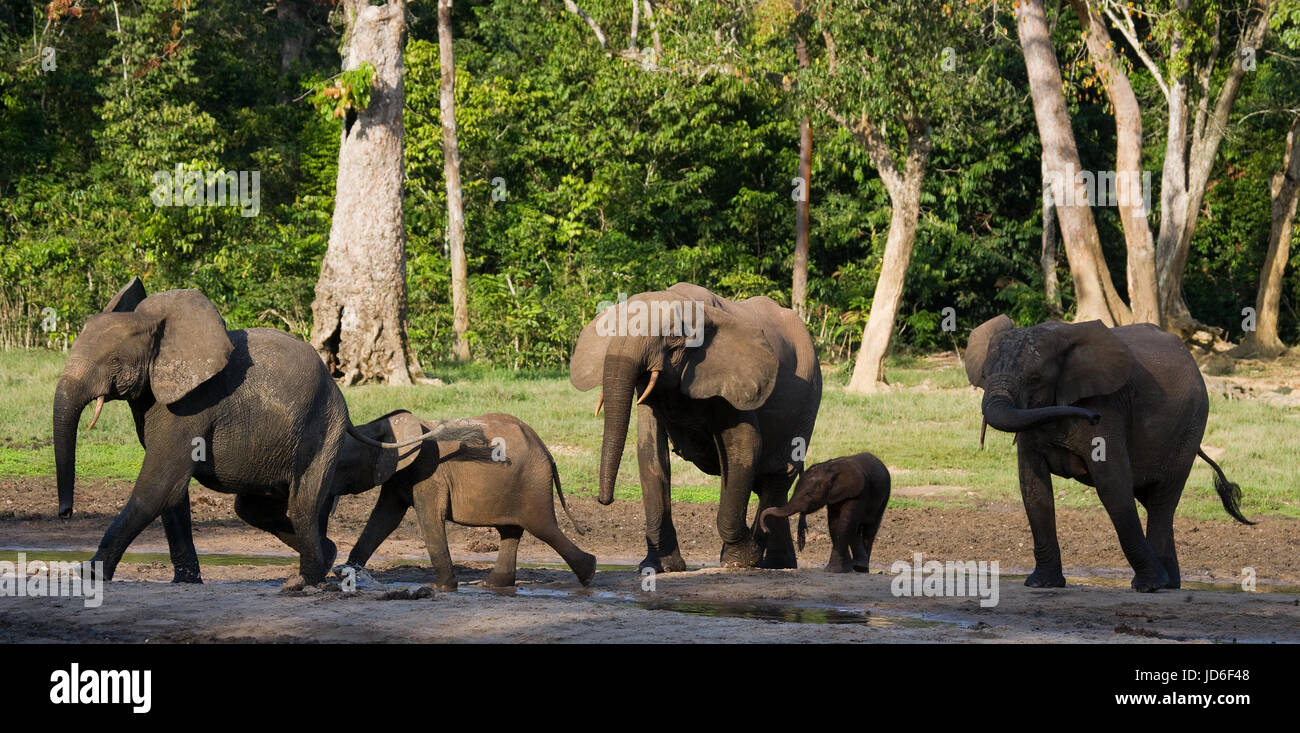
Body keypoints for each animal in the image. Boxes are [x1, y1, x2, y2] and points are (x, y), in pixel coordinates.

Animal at [52, 278, 471, 588]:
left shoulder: (195, 403)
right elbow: (172, 494)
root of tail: (343, 401)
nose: (65, 513)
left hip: (323, 429)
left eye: (113, 361)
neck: (158, 327)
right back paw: (327, 557)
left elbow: (158, 486)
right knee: (253, 508)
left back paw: (308, 580)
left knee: (302, 505)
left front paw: (87, 575)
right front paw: (186, 582)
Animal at [336, 411, 596, 590]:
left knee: (542, 527)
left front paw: (439, 588)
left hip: (532, 482)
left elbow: (429, 519)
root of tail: (546, 451)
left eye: (343, 465)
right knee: (511, 531)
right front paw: (346, 573)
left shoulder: (428, 473)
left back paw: (590, 573)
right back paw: (491, 585)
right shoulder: (398, 475)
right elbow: (384, 519)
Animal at [569, 282, 822, 571]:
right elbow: (650, 453)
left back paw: (768, 561)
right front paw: (660, 566)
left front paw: (742, 560)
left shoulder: (734, 374)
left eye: (672, 337)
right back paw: (773, 562)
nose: (604, 500)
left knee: (778, 475)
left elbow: (745, 446)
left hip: (809, 395)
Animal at [756, 453, 890, 573]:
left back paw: (862, 568)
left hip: (884, 498)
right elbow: (834, 523)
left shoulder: (859, 493)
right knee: (856, 530)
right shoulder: (833, 497)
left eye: (808, 495)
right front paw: (840, 570)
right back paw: (857, 567)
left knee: (869, 530)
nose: (766, 530)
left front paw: (834, 570)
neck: (831, 470)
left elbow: (845, 523)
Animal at [964, 315, 1254, 592]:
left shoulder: (1109, 407)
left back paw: (1159, 585)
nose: (1092, 416)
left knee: (1162, 500)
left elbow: (1112, 486)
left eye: (1035, 379)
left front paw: (1148, 586)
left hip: (1190, 428)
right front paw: (1041, 584)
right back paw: (1171, 583)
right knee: (1151, 500)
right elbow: (1033, 487)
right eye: (985, 375)